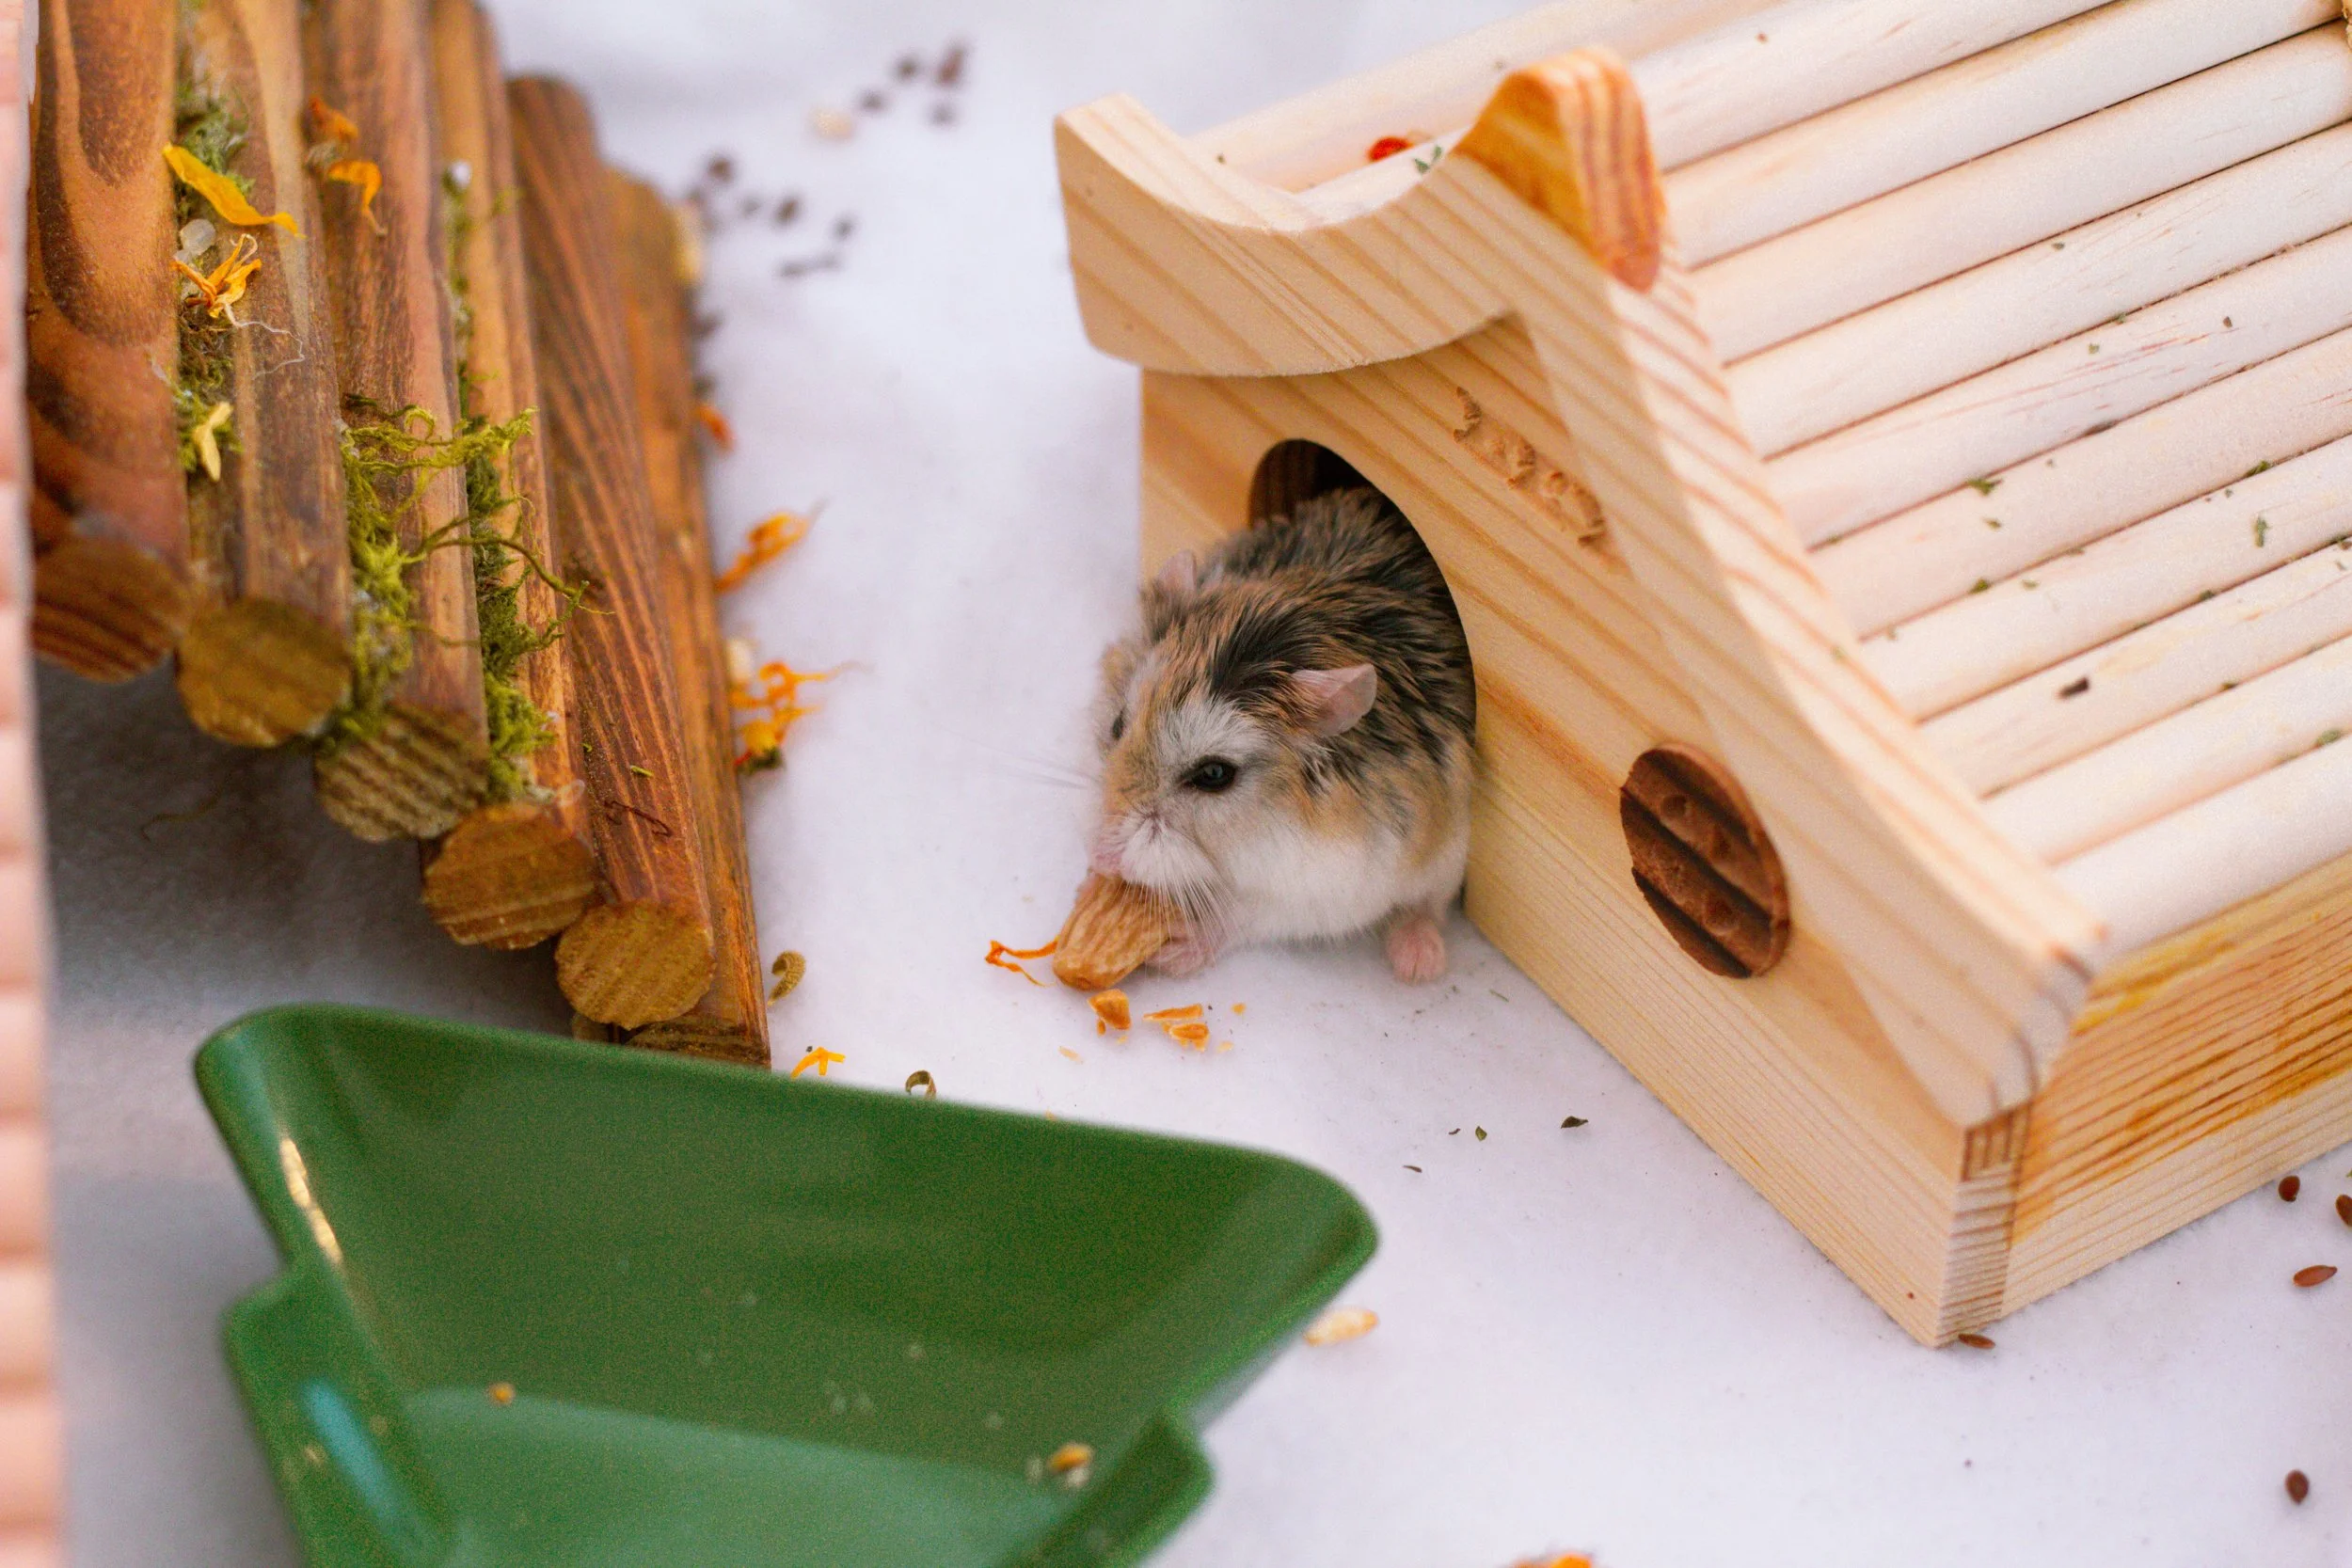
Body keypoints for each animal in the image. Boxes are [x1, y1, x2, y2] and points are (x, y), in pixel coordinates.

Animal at [1090, 486, 1476, 983]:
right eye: (1117, 725)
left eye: (1214, 775)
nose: (1105, 856)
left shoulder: (1326, 888)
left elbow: (1243, 915)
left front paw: (1174, 950)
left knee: (1428, 906)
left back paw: (1417, 963)